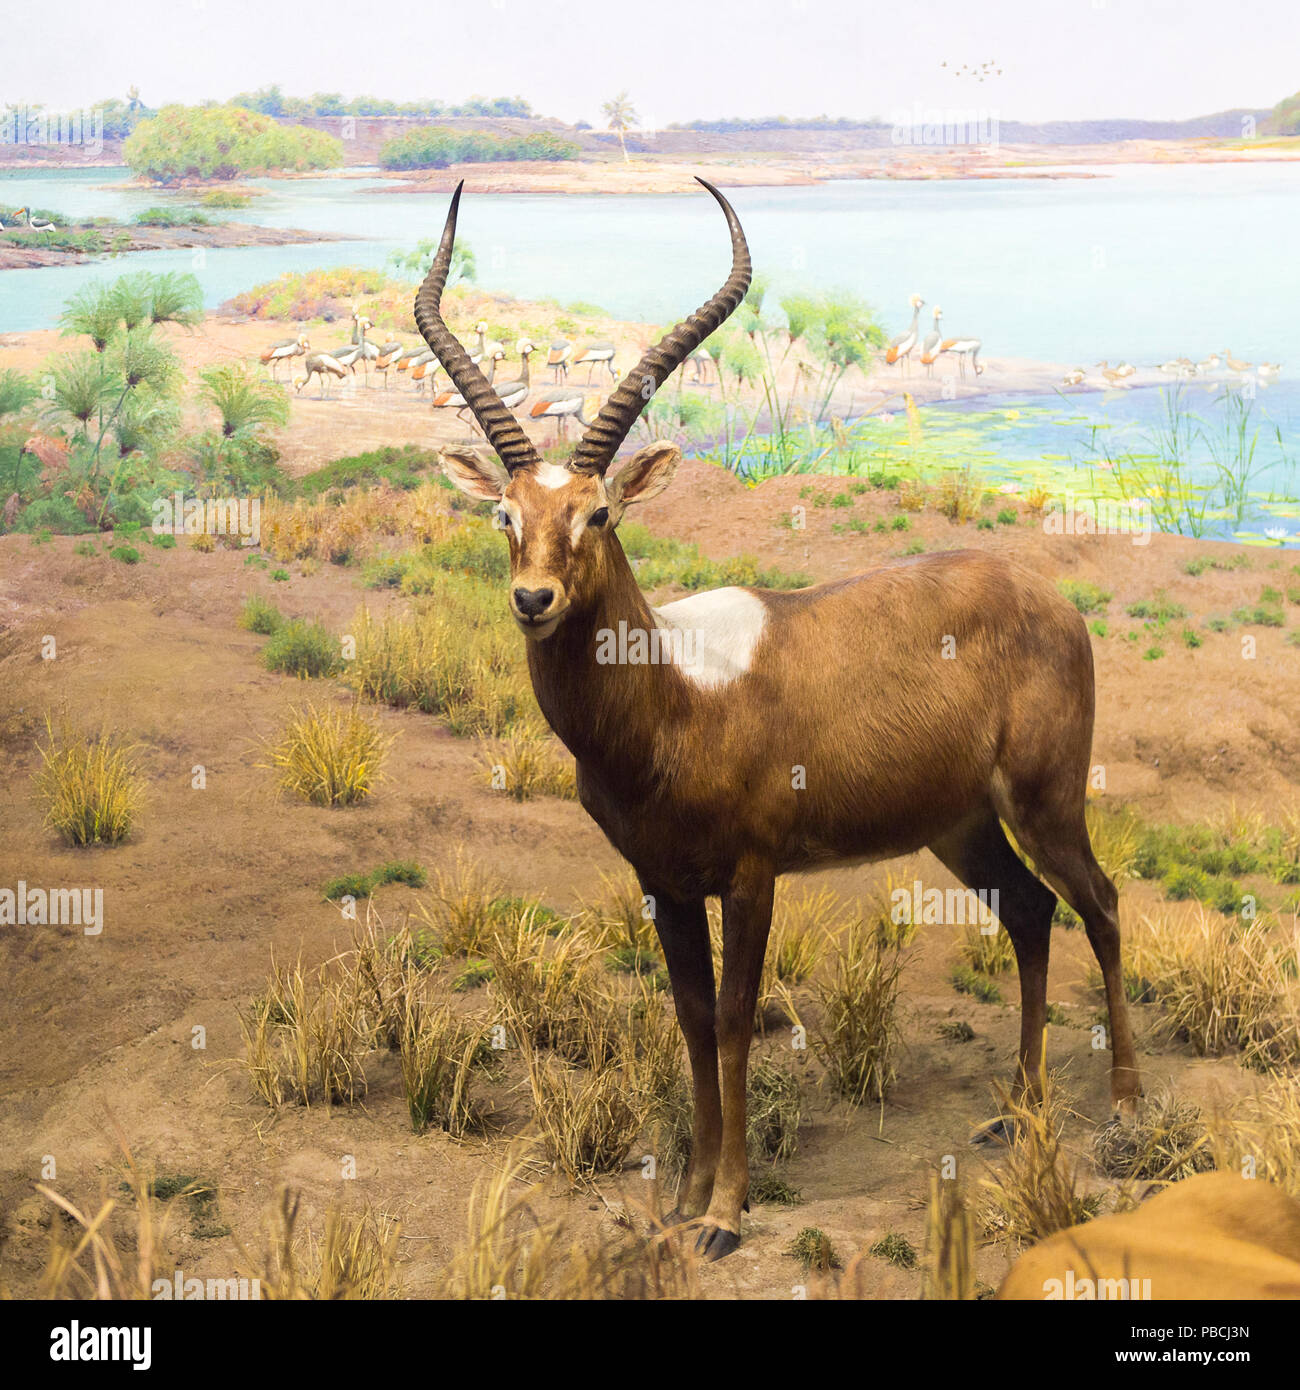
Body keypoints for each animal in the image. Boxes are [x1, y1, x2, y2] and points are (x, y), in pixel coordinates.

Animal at [414, 179, 1140, 1260]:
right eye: (505, 515)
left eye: (599, 514)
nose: (534, 599)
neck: (676, 692)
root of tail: (1046, 594)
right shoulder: (663, 884)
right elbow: (685, 1016)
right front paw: (680, 1199)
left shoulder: (751, 878)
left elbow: (734, 1017)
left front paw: (724, 1214)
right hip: (960, 826)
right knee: (1030, 910)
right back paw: (1017, 1113)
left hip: (1047, 804)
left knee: (1098, 902)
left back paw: (1126, 1110)